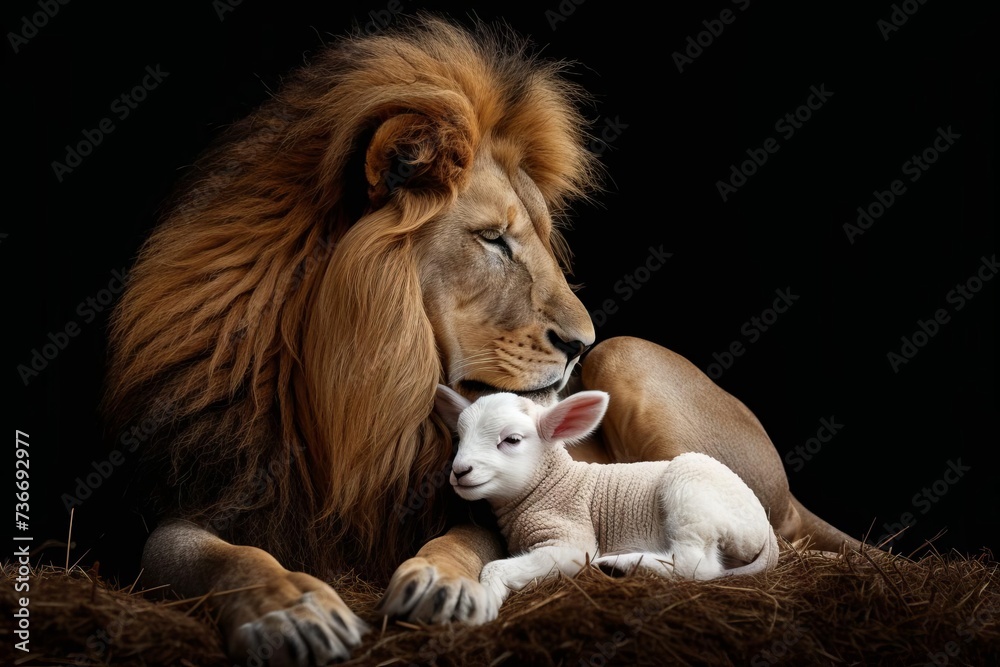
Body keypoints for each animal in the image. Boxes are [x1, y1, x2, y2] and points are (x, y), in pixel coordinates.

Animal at [434, 385, 780, 607]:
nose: (460, 471)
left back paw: (620, 564)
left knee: (696, 566)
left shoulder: (572, 540)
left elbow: (495, 567)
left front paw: (486, 602)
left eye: (512, 440)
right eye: (460, 438)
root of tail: (765, 527)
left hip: (692, 496)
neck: (551, 484)